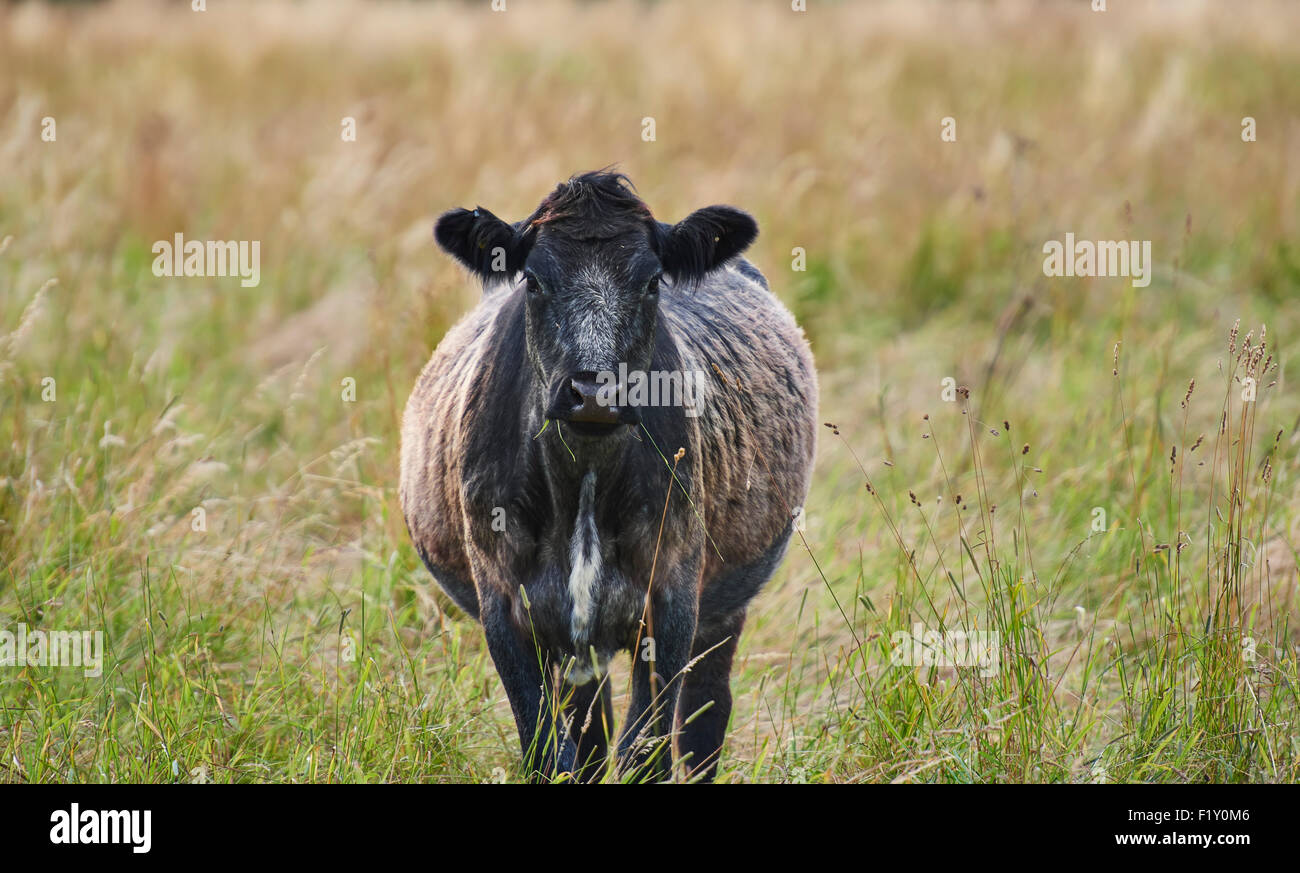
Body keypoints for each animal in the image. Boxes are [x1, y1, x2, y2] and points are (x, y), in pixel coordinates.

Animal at [399, 171, 817, 782]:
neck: (584, 483)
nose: (595, 391)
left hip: (722, 607)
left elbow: (647, 754)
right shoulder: (505, 606)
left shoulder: (672, 601)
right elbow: (548, 752)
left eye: (652, 282)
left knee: (703, 720)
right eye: (532, 280)